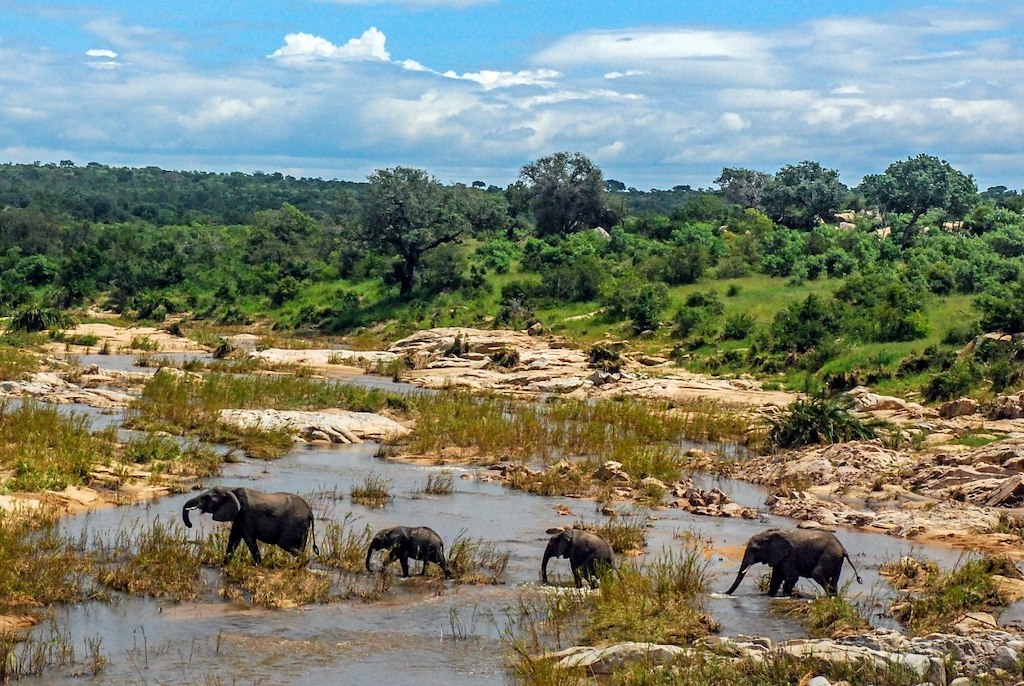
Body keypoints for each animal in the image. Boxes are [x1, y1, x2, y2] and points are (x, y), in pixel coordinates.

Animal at [183, 487, 319, 565]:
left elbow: (248, 539)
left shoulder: (245, 514)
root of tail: (310, 513)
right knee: (300, 546)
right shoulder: (239, 517)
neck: (230, 489)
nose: (189, 525)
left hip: (294, 525)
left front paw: (258, 565)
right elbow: (234, 538)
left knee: (286, 544)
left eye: (206, 497)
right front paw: (222, 565)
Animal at [720, 528, 864, 597]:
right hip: (836, 561)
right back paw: (834, 597)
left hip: (829, 556)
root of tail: (843, 549)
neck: (770, 535)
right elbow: (776, 578)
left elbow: (791, 577)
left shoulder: (789, 556)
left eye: (755, 550)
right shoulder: (779, 557)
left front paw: (785, 596)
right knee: (834, 580)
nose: (722, 593)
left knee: (817, 574)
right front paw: (770, 595)